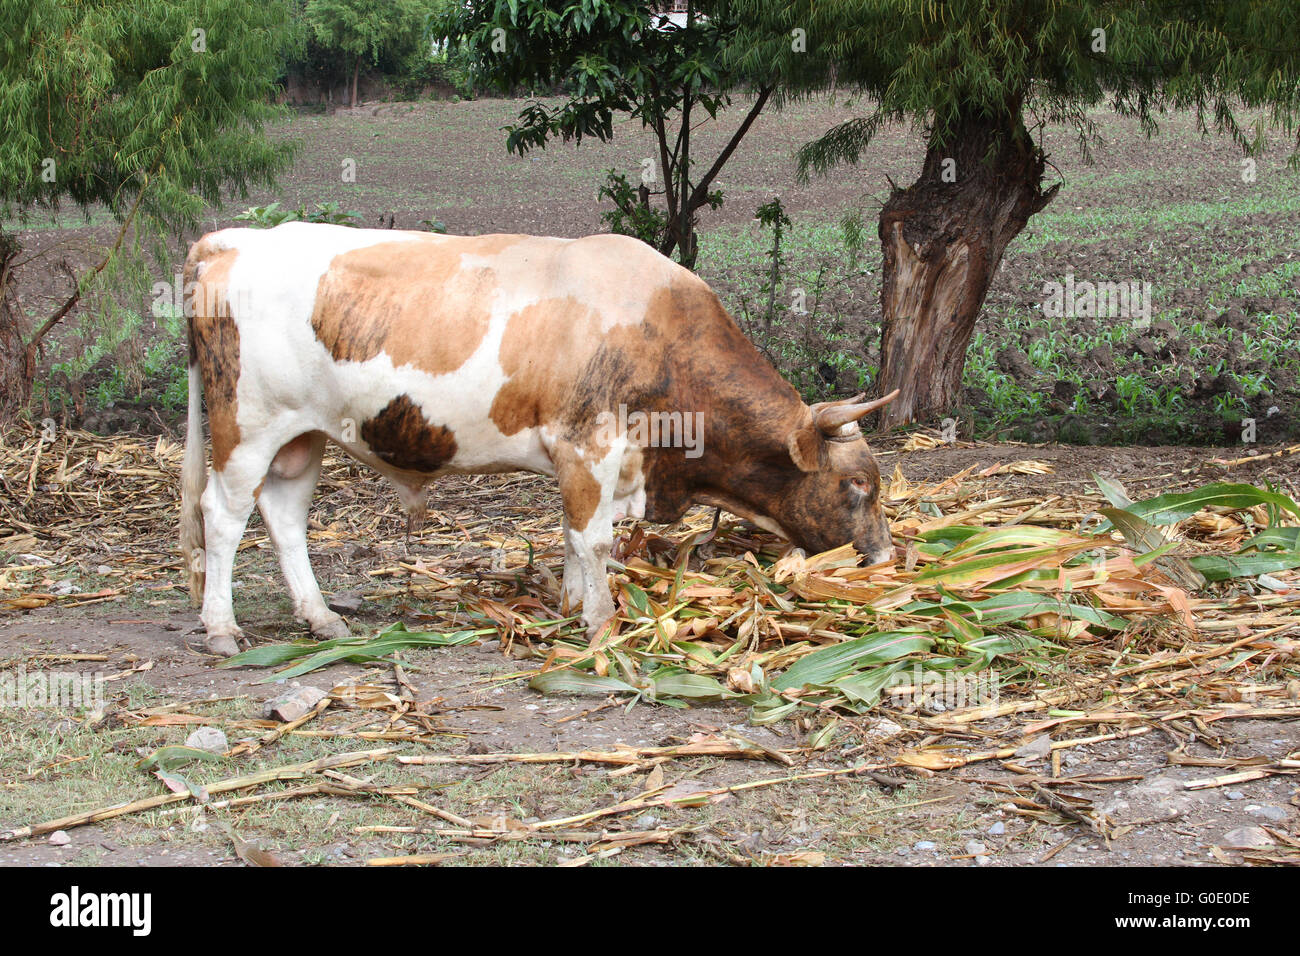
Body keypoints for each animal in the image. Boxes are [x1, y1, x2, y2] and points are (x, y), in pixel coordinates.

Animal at [180, 222, 898, 656]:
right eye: (857, 484)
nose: (887, 559)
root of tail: (235, 238)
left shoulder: (592, 462)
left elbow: (575, 536)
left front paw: (573, 603)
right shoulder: (589, 445)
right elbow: (594, 537)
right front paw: (602, 621)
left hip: (301, 437)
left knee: (285, 518)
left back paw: (321, 616)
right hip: (246, 428)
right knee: (223, 515)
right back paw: (220, 627)